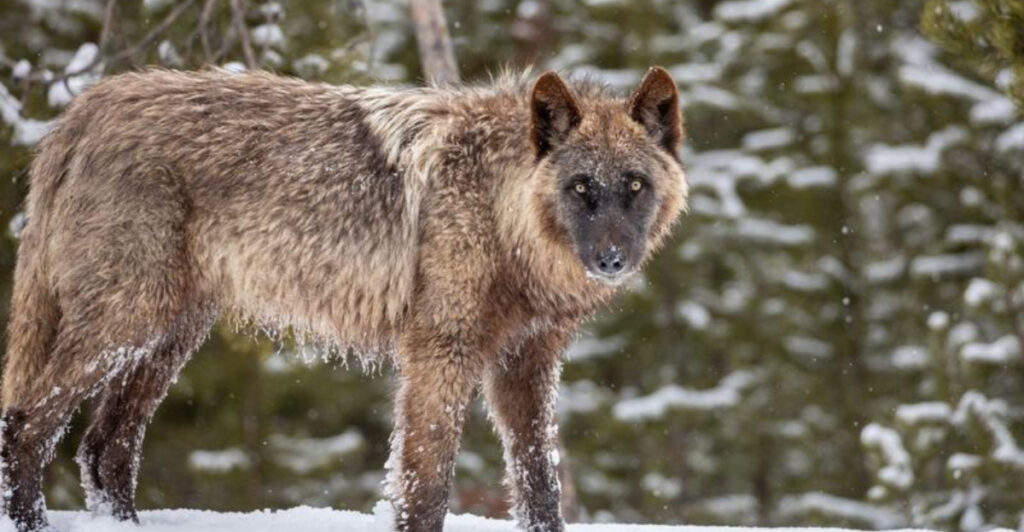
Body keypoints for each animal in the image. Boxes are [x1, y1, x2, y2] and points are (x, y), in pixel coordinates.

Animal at [0, 66, 686, 531]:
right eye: (581, 187)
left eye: (633, 185)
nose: (612, 260)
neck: (500, 209)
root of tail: (85, 108)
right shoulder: (440, 354)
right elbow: (425, 484)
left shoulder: (528, 364)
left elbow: (539, 481)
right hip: (127, 326)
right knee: (27, 427)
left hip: (167, 337)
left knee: (104, 450)